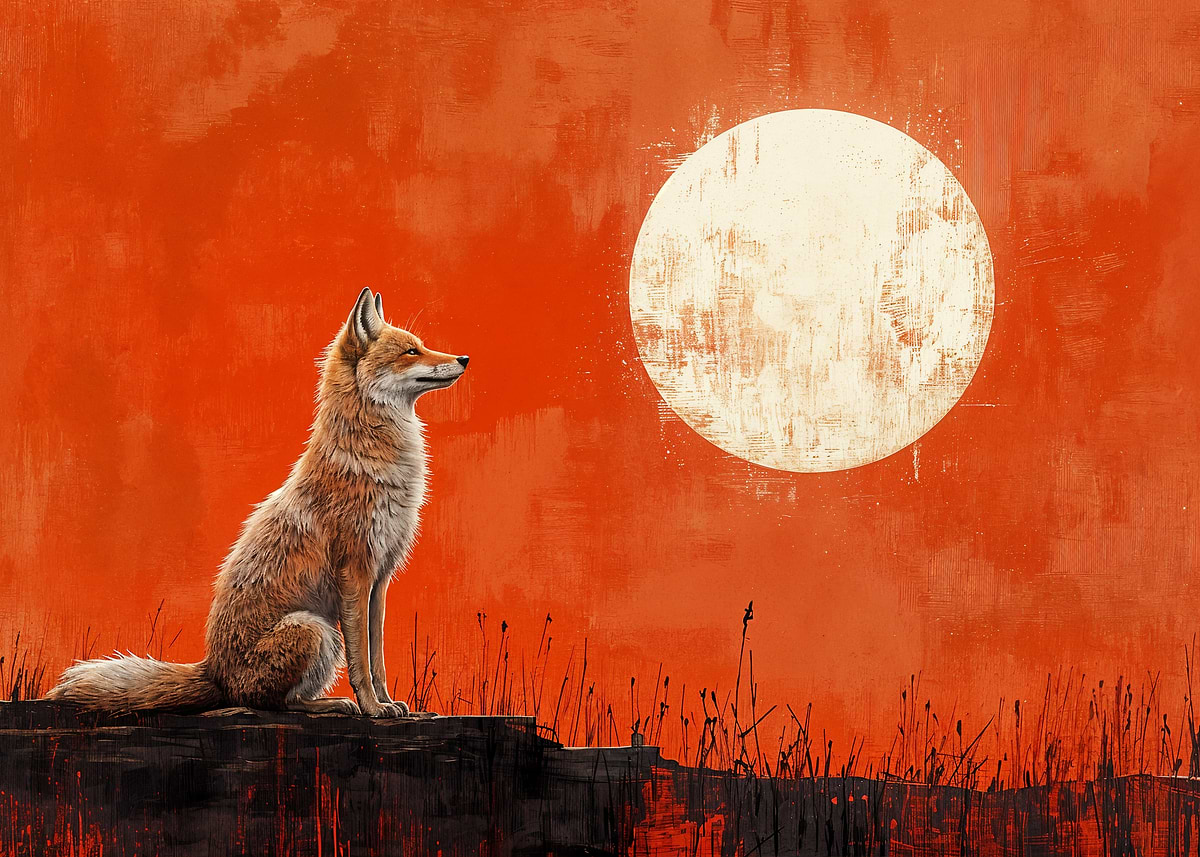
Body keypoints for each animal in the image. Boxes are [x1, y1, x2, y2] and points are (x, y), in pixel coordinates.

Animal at [45, 288, 468, 717]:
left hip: (321, 633)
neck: (375, 458)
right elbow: (362, 662)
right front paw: (371, 708)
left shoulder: (380, 579)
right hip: (313, 629)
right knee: (270, 703)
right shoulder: (355, 573)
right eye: (411, 351)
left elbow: (377, 657)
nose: (464, 359)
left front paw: (392, 704)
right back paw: (332, 704)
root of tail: (214, 672)